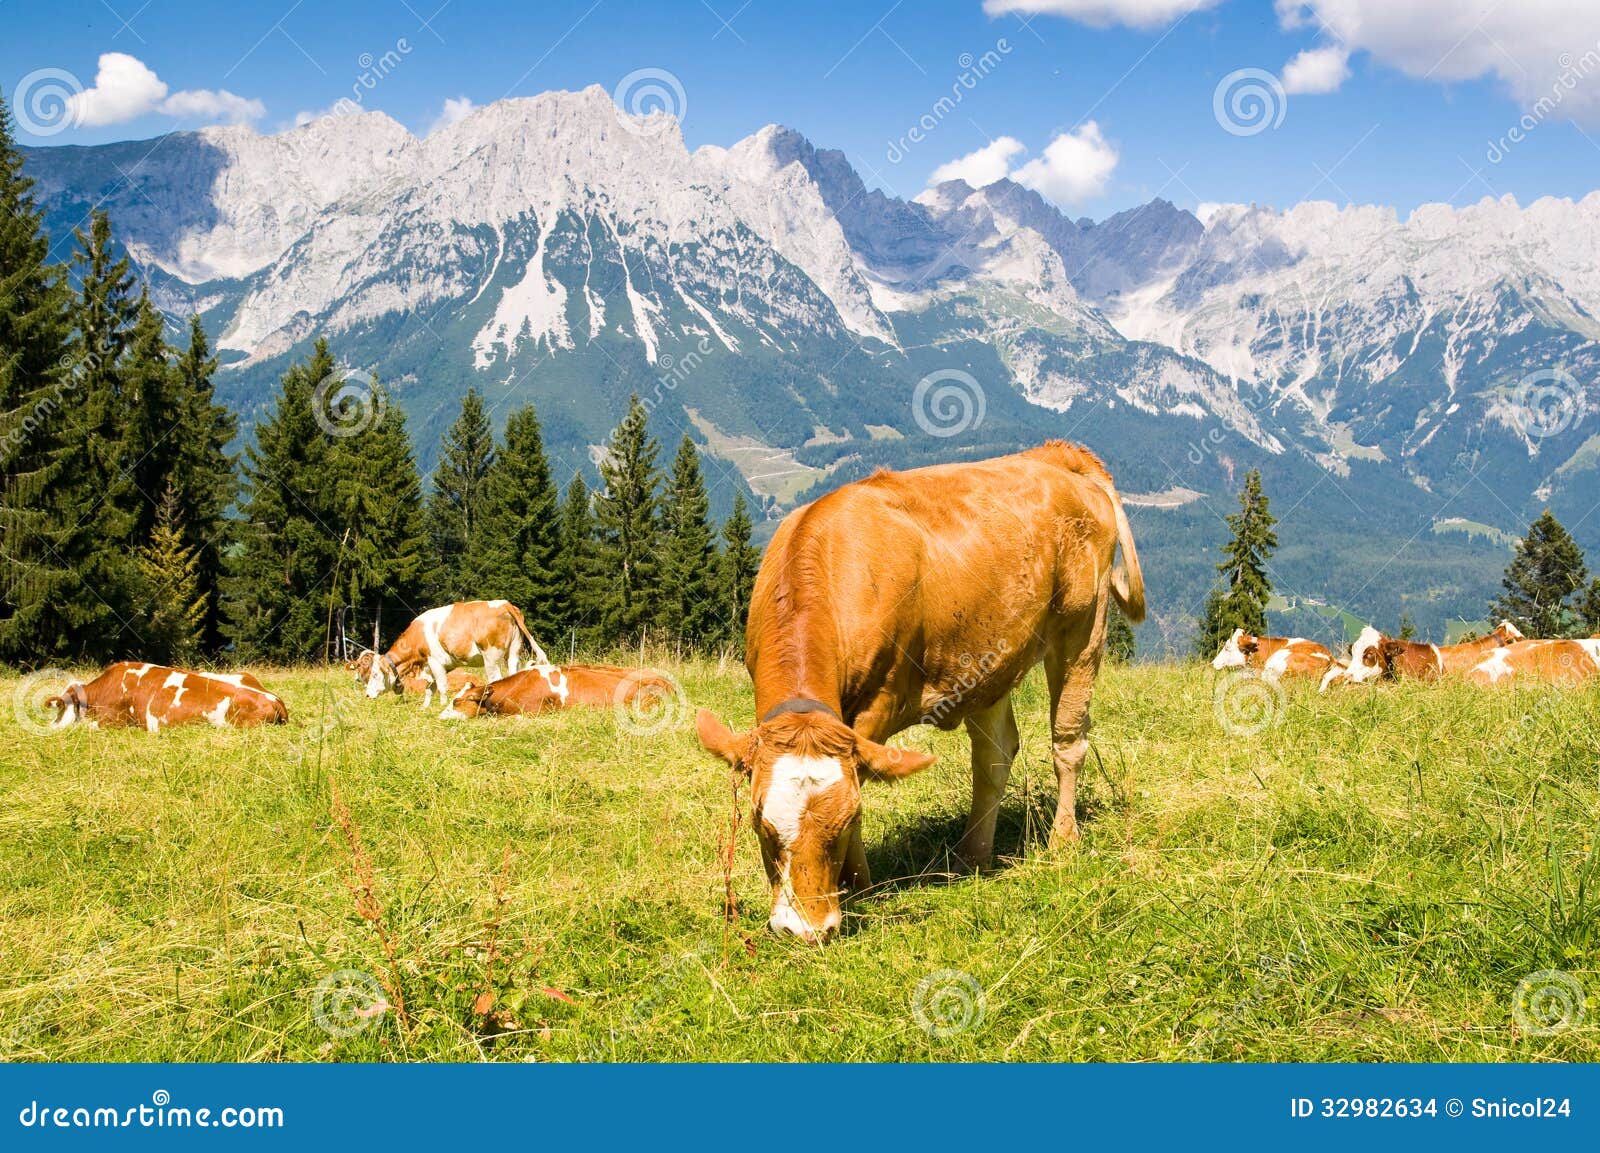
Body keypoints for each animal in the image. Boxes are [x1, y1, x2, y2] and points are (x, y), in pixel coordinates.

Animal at [362, 600, 557, 713]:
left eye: (375, 674)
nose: (367, 695)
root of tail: (504, 604)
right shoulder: (438, 665)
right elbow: (430, 687)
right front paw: (425, 706)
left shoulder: (435, 661)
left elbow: (441, 686)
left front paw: (441, 705)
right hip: (514, 652)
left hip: (491, 657)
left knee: (496, 678)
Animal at [695, 442, 1144, 943]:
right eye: (760, 822)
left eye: (846, 820)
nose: (805, 931)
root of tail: (1055, 455)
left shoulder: (882, 701)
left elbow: (863, 777)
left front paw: (859, 885)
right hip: (990, 658)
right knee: (994, 756)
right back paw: (971, 855)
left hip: (1082, 627)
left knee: (1068, 742)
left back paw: (1062, 841)